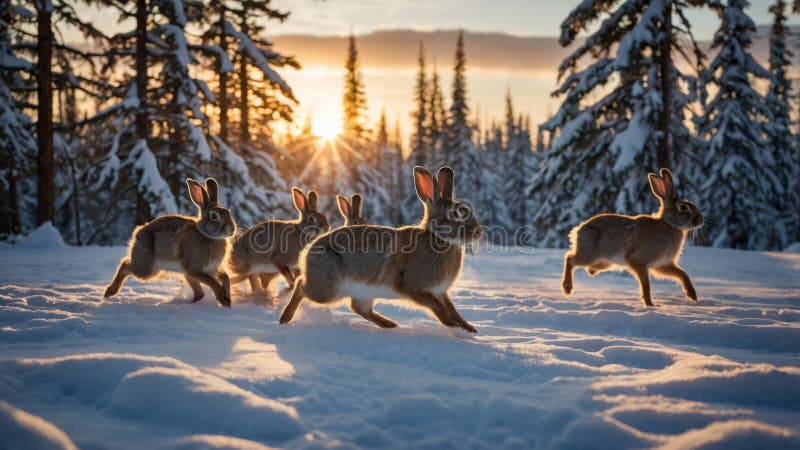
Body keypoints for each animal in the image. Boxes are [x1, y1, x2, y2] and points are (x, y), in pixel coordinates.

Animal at [104, 178, 236, 307]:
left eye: (228, 212)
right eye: (214, 216)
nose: (232, 229)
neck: (207, 235)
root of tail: (137, 234)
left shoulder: (212, 269)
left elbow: (226, 278)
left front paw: (228, 300)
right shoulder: (195, 270)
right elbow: (213, 283)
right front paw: (222, 298)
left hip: (168, 272)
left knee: (199, 294)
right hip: (147, 270)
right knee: (125, 265)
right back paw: (110, 291)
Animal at [279, 166, 482, 333]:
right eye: (455, 214)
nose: (479, 232)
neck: (437, 237)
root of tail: (308, 251)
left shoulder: (440, 291)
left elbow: (452, 308)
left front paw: (468, 328)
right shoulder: (416, 289)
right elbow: (439, 309)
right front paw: (452, 325)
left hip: (362, 293)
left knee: (359, 308)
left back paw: (389, 324)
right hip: (327, 289)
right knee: (300, 286)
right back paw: (285, 318)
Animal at [562, 168, 704, 306]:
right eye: (683, 207)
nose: (701, 220)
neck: (669, 224)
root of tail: (579, 229)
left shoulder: (662, 263)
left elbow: (682, 274)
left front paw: (692, 295)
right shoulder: (638, 261)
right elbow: (646, 284)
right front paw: (650, 304)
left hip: (605, 262)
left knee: (586, 266)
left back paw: (590, 273)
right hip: (589, 254)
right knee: (570, 259)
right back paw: (567, 288)